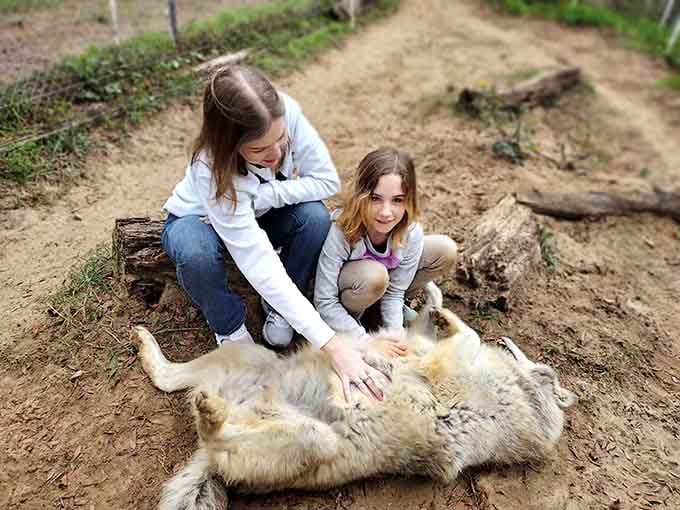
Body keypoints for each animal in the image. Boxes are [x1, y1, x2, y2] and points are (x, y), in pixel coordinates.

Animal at [132, 283, 576, 510]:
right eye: (526, 354)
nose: (508, 342)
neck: (524, 397)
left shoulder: (450, 358)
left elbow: (464, 333)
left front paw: (442, 314)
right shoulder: (424, 344)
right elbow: (432, 323)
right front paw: (433, 303)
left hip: (312, 438)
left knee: (211, 425)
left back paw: (210, 411)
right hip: (249, 356)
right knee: (169, 378)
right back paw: (149, 346)